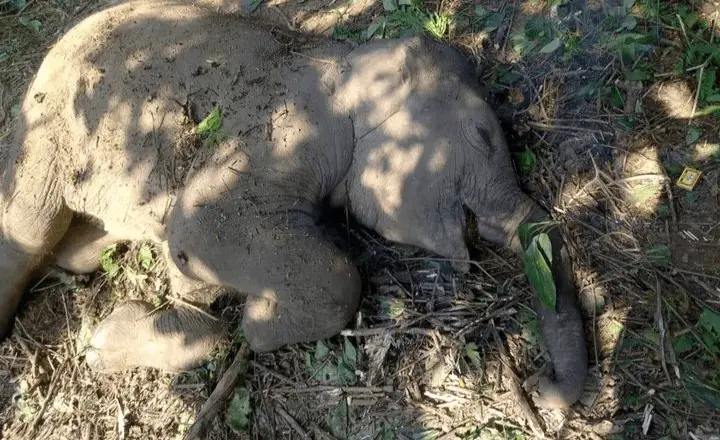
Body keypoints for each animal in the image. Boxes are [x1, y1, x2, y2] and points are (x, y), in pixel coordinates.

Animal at [0, 0, 587, 408]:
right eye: (483, 136)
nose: (542, 385)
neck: (349, 62)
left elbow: (190, 256)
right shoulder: (287, 133)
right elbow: (200, 230)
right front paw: (254, 322)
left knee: (75, 247)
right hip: (48, 126)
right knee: (27, 229)